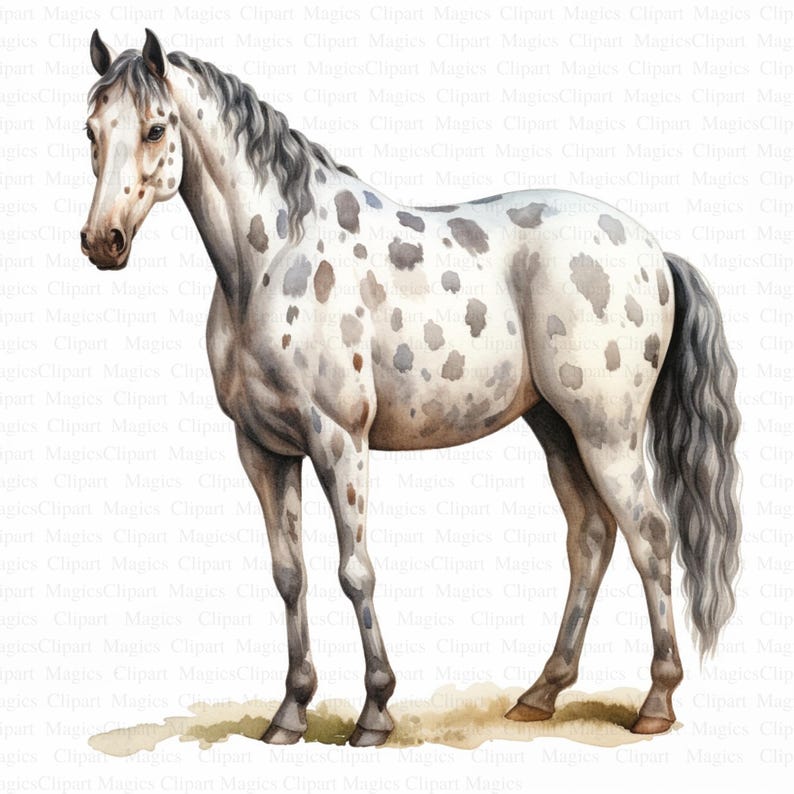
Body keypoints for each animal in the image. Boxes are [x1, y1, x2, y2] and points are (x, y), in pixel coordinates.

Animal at [80, 30, 742, 747]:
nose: (102, 242)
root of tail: (654, 253)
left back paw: (656, 702)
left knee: (651, 537)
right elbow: (290, 576)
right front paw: (290, 712)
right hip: (557, 429)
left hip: (606, 432)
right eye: (91, 130)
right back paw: (541, 693)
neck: (272, 259)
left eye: (155, 128)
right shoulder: (262, 450)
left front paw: (375, 711)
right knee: (591, 539)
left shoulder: (339, 442)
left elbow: (355, 572)